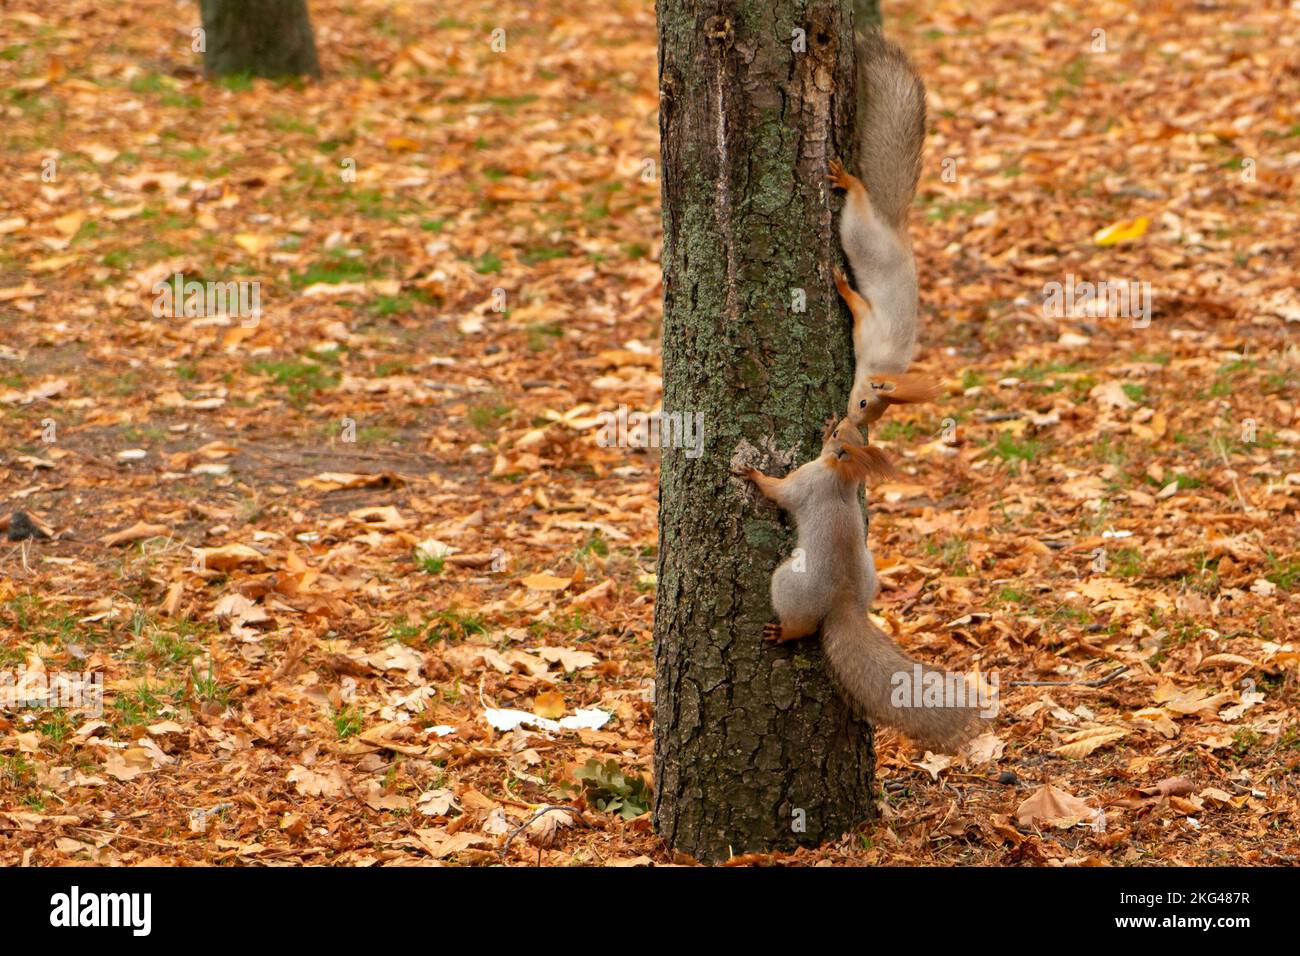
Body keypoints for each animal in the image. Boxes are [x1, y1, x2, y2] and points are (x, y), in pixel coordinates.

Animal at [740, 418, 987, 752]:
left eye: (836, 436)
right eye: (845, 431)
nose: (838, 422)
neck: (843, 477)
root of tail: (845, 600)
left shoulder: (806, 480)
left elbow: (778, 491)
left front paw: (753, 475)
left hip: (790, 585)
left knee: (802, 625)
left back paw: (783, 632)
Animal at [828, 31, 936, 429]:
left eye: (873, 413)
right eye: (863, 402)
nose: (851, 419)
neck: (885, 360)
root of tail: (893, 228)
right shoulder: (870, 326)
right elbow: (856, 304)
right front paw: (841, 284)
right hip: (858, 232)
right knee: (857, 196)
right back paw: (847, 180)